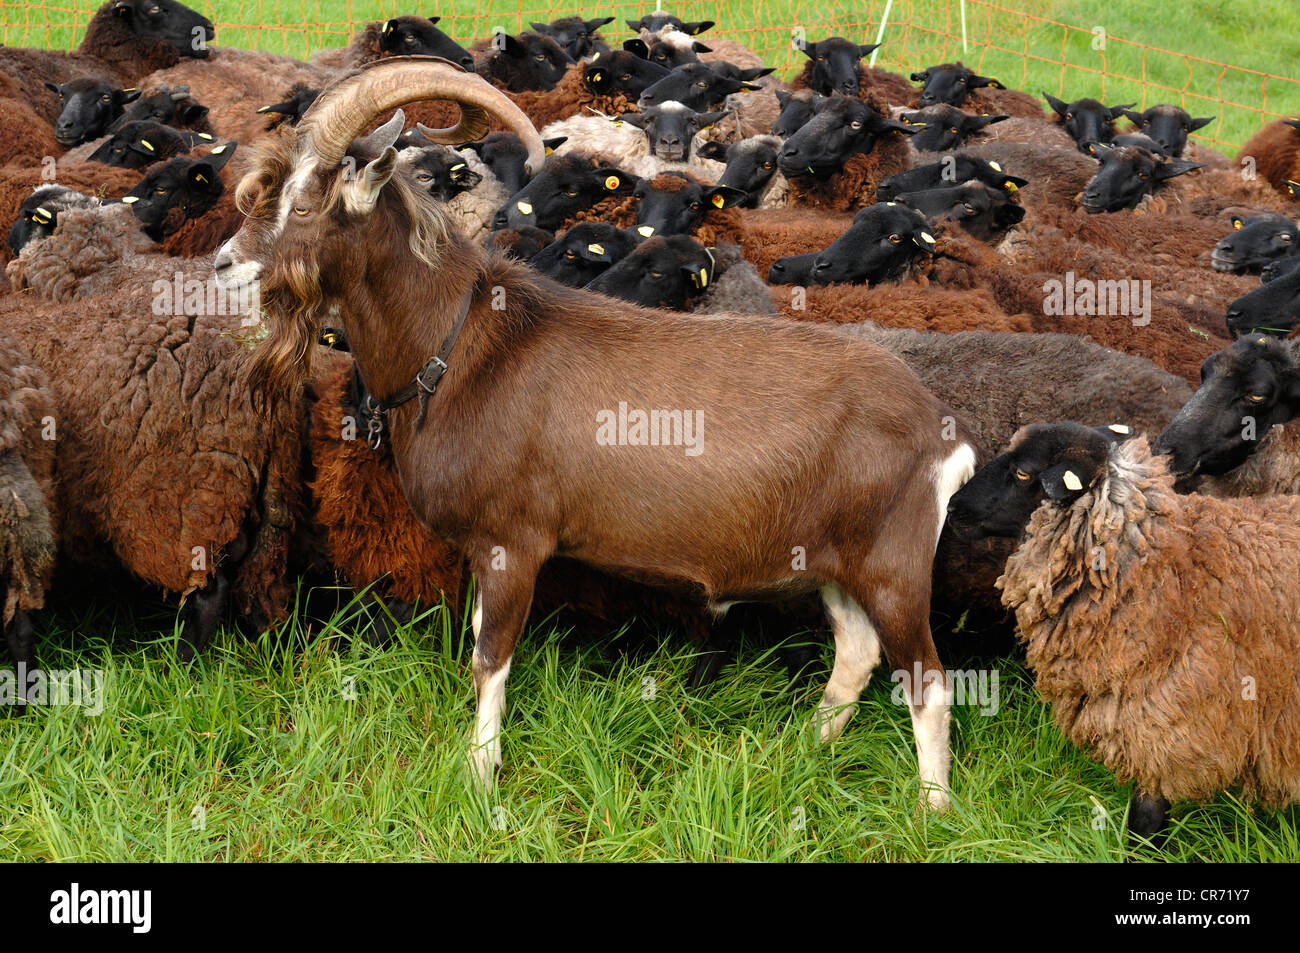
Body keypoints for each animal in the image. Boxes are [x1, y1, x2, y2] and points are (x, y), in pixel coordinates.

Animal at [215, 57, 979, 806]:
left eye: (305, 205)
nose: (223, 265)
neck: (463, 345)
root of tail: (942, 435)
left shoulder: (513, 541)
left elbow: (489, 658)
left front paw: (481, 782)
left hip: (893, 563)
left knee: (928, 681)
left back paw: (932, 810)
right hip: (834, 562)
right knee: (857, 653)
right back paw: (808, 752)